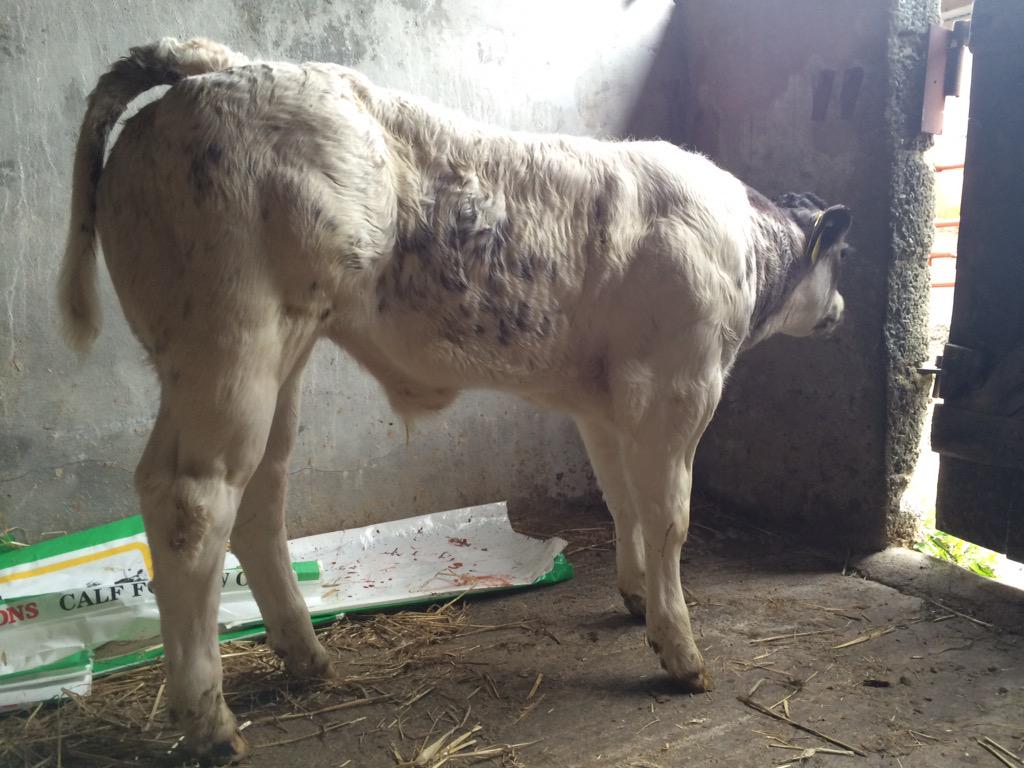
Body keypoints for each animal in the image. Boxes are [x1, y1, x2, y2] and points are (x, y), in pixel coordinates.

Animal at [58, 38, 853, 764]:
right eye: (842, 259)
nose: (842, 309)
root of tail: (212, 63)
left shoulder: (601, 402)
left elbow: (622, 499)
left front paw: (634, 598)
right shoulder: (680, 386)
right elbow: (668, 518)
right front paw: (680, 650)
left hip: (271, 360)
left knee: (258, 493)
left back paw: (306, 657)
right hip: (231, 345)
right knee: (194, 503)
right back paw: (210, 722)